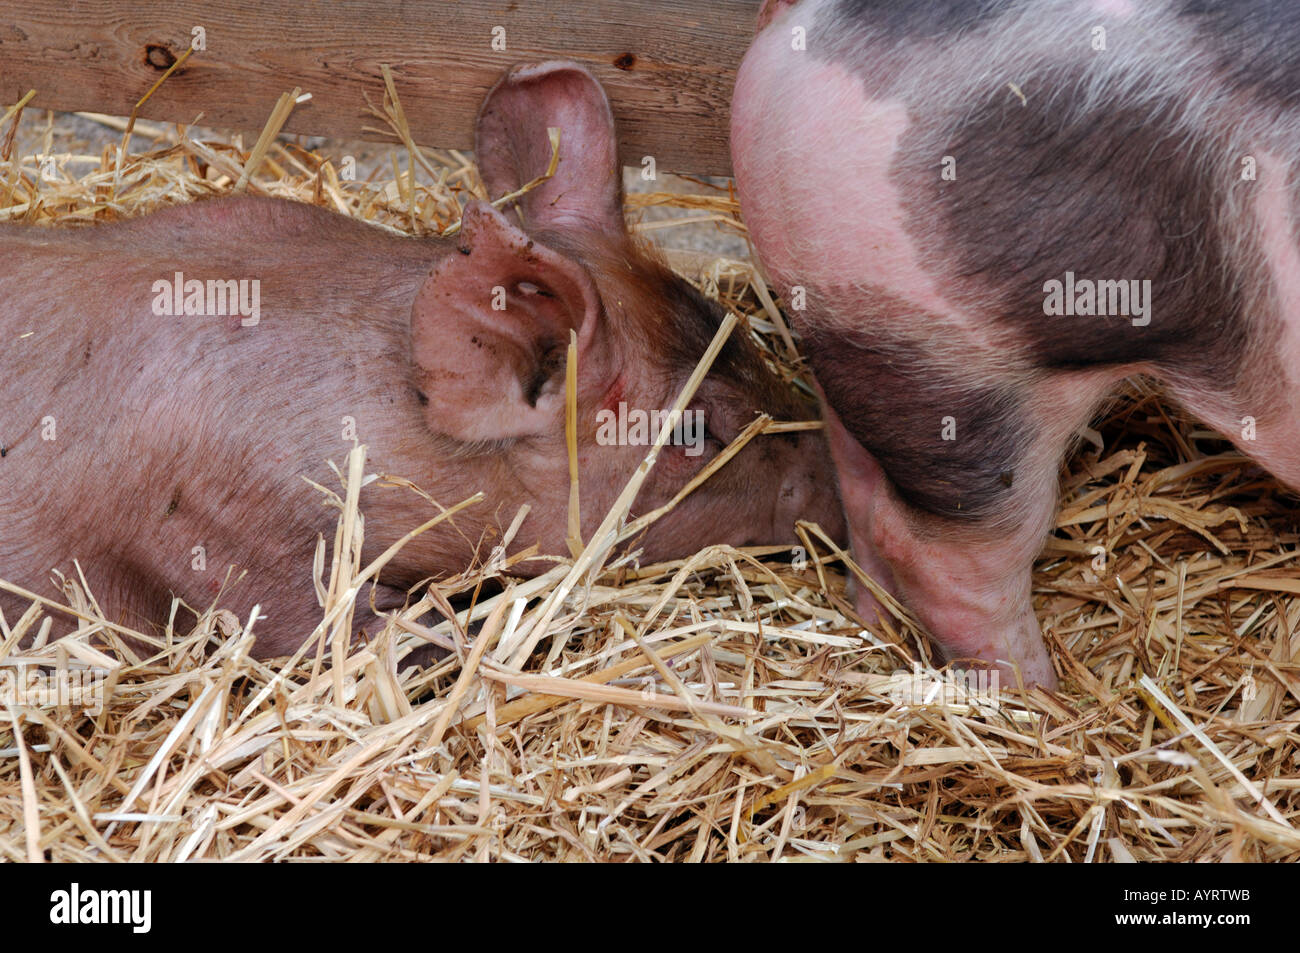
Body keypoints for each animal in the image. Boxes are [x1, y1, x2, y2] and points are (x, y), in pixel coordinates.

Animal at [732, 0, 1300, 688]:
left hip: (861, 329)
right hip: (969, 373)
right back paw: (1038, 702)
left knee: (858, 490)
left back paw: (878, 627)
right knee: (938, 552)